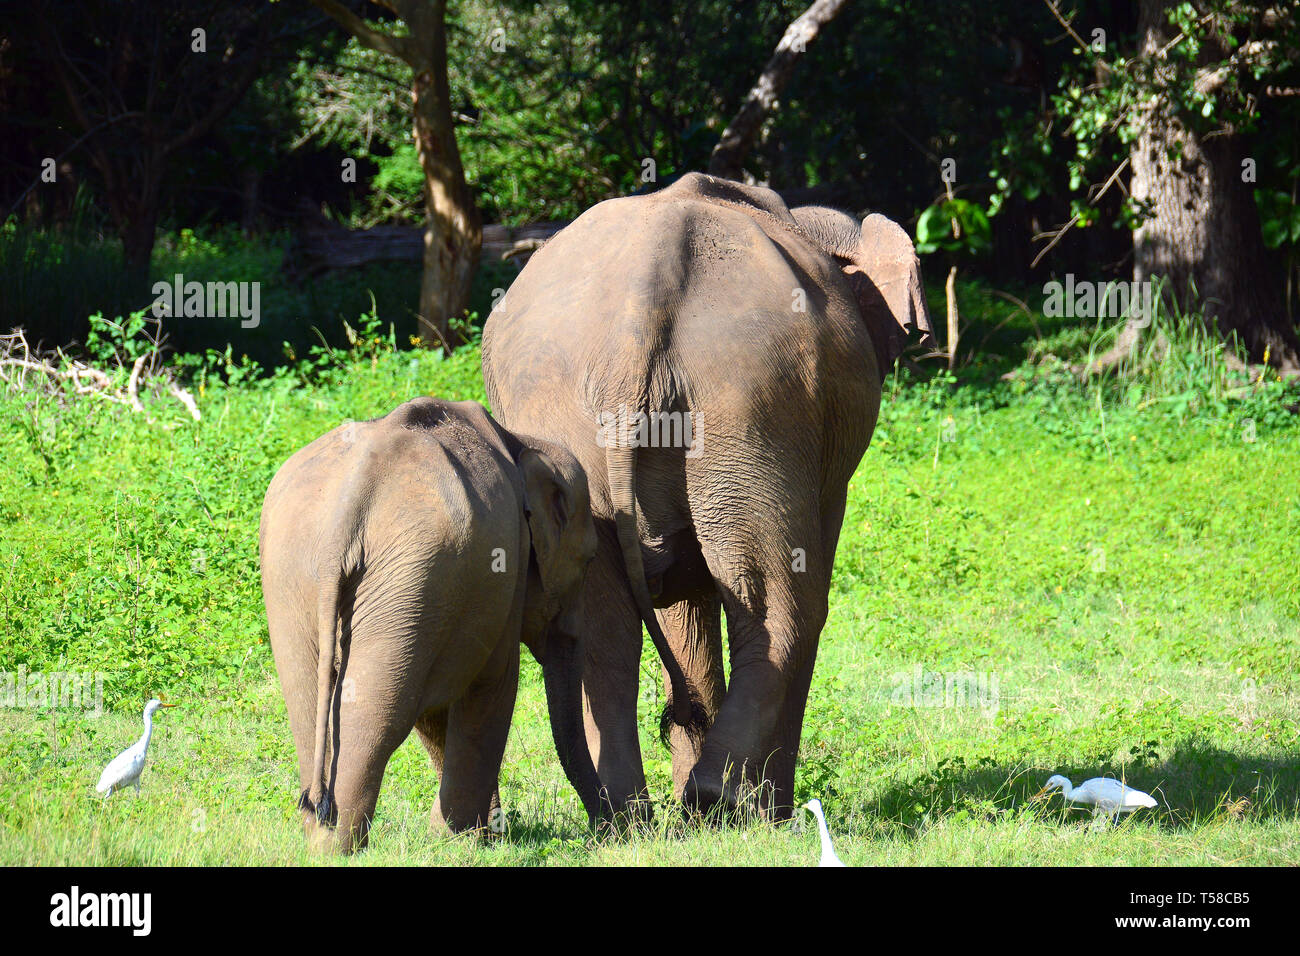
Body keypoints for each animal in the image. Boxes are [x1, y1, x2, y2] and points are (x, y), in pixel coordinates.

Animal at [259, 396, 601, 852]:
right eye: (589, 560)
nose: (614, 826)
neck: (522, 443)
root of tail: (346, 510)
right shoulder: (502, 572)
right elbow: (493, 685)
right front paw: (465, 841)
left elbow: (437, 707)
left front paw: (465, 837)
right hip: (406, 574)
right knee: (378, 713)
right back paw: (339, 847)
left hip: (302, 578)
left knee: (311, 704)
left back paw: (319, 839)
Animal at [481, 172, 933, 820]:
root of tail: (638, 317)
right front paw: (771, 811)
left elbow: (682, 600)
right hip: (751, 403)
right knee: (785, 606)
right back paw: (718, 800)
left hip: (572, 421)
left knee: (601, 625)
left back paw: (632, 817)